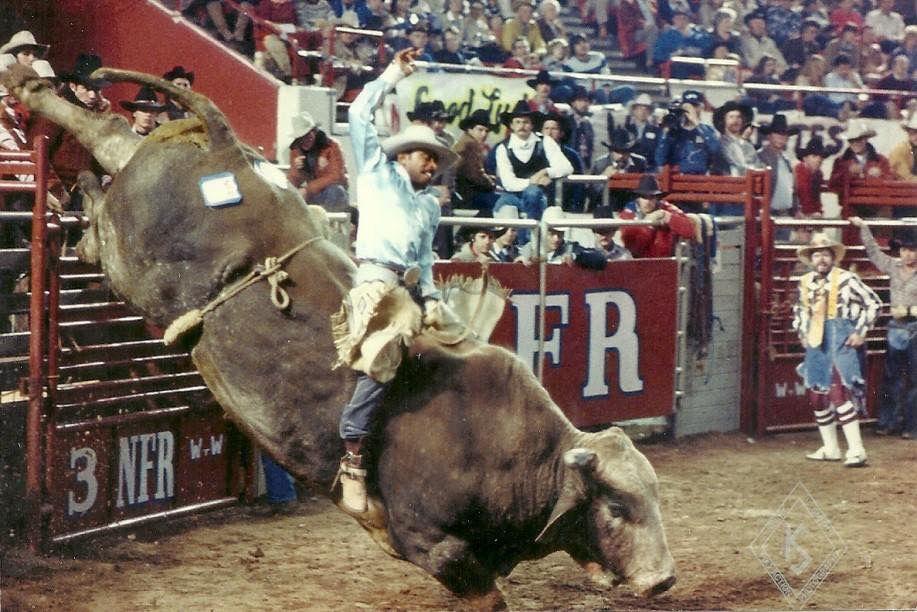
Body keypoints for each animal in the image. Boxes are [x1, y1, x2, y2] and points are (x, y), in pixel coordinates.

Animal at [1, 64, 675, 608]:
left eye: (655, 497)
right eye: (617, 507)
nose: (665, 578)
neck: (520, 455)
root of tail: (228, 148)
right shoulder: (428, 540)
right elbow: (479, 586)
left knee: (109, 141)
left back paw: (28, 85)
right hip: (133, 249)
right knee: (100, 166)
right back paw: (34, 98)